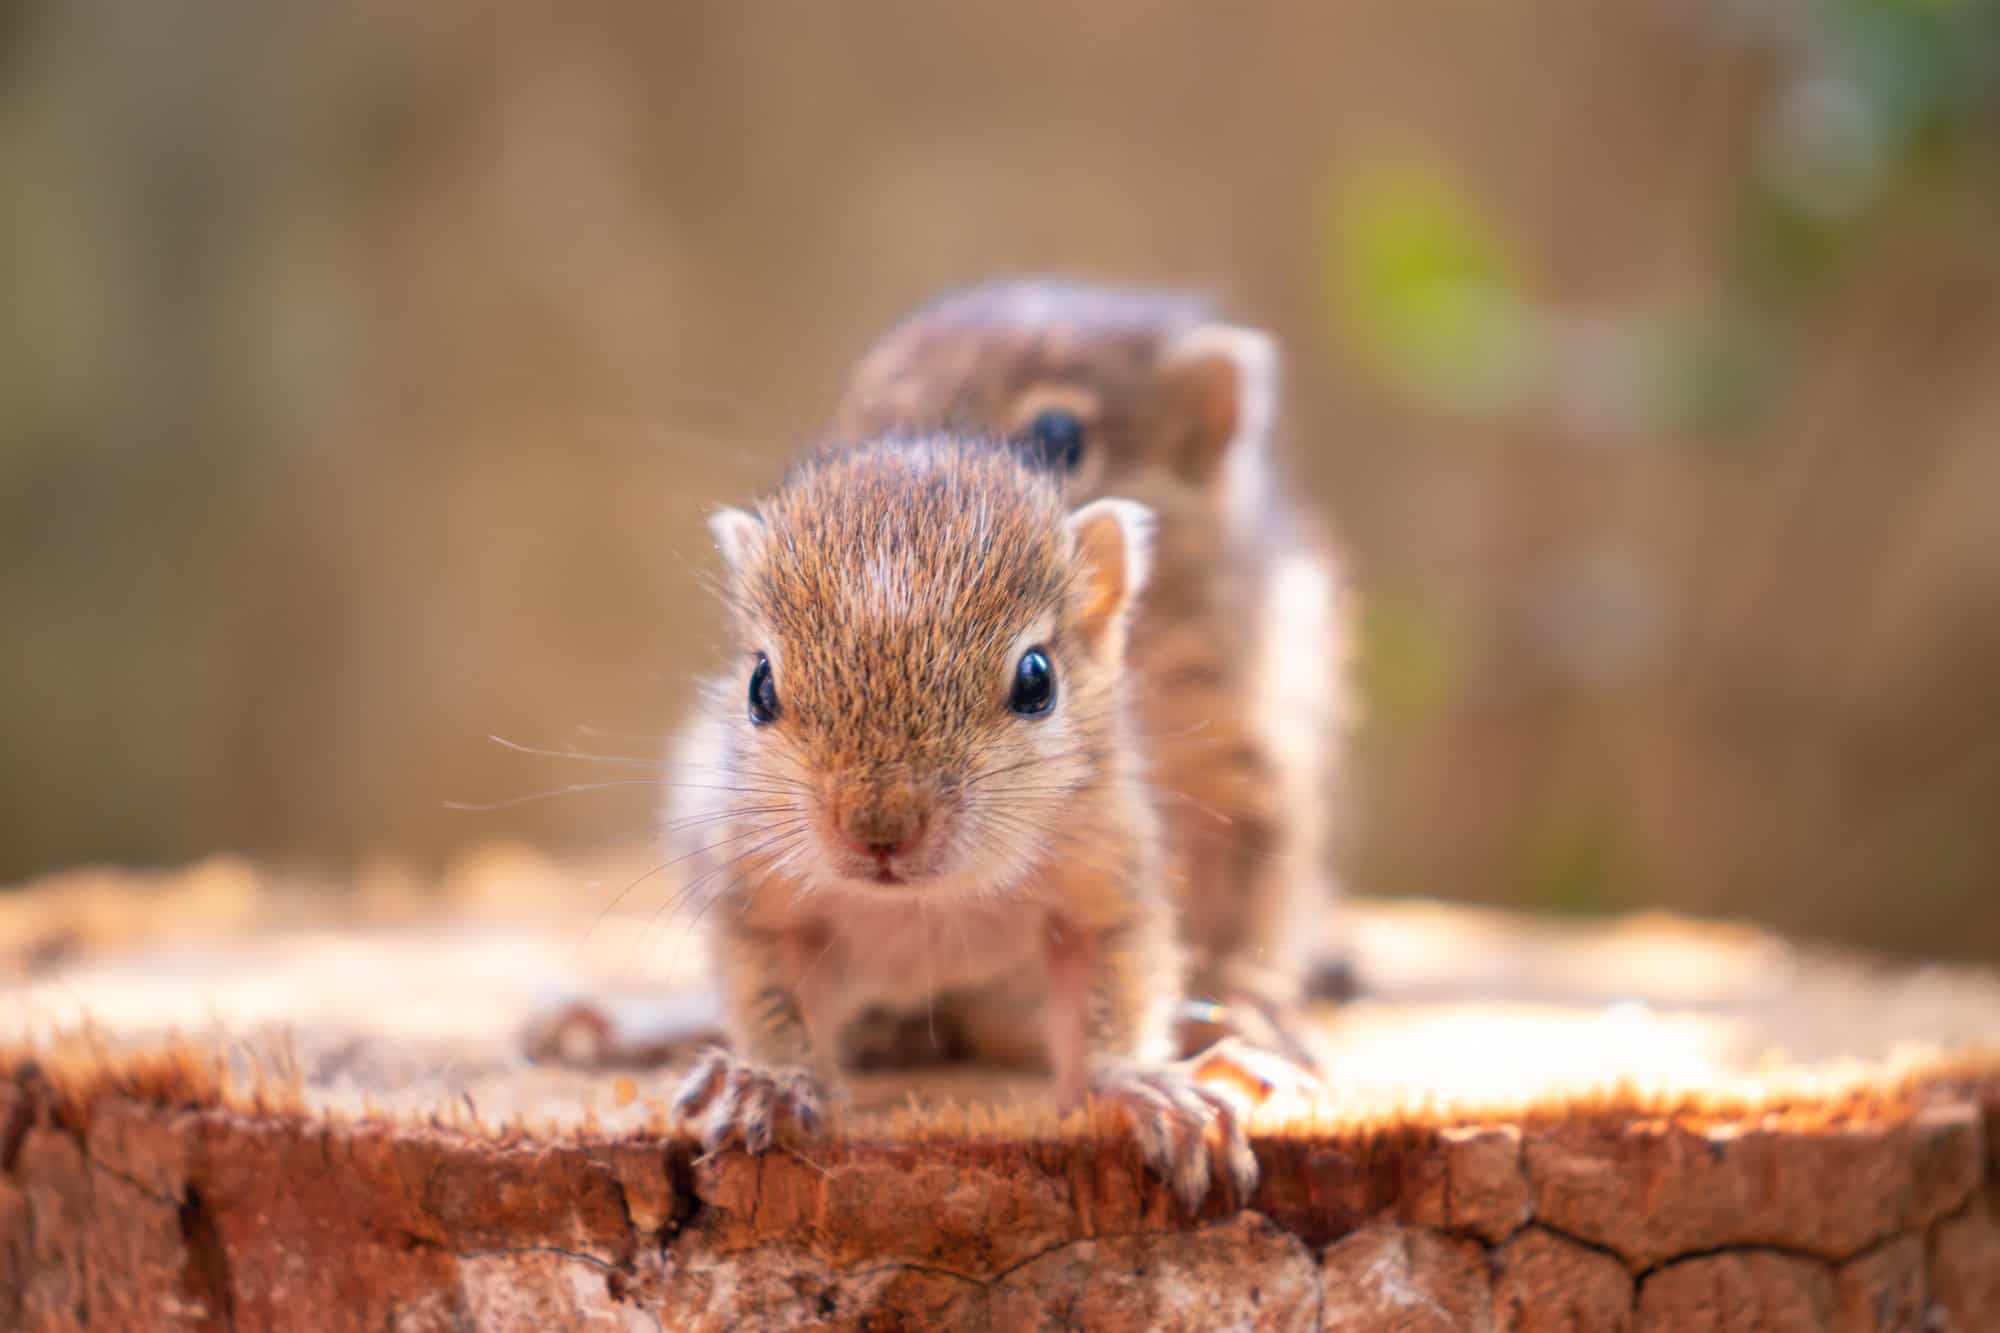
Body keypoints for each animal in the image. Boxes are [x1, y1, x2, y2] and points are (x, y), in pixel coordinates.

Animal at [666, 435, 1257, 1207]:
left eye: (1037, 679)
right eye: (759, 686)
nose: (878, 829)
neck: (924, 903)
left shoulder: (1105, 882)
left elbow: (1115, 988)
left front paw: (1139, 1085)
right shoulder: (758, 892)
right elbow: (767, 988)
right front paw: (766, 1080)